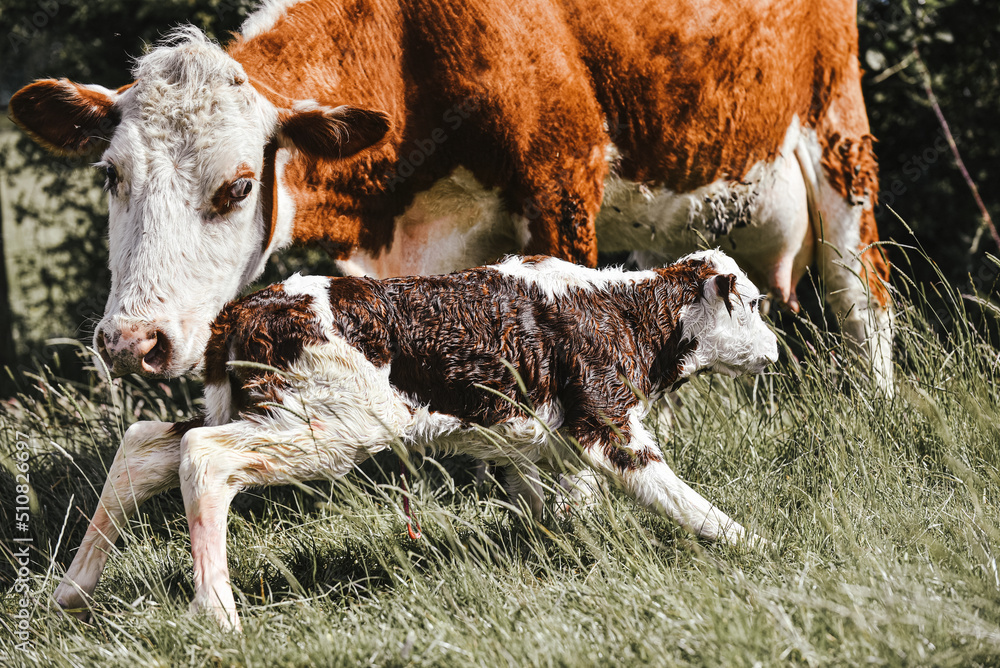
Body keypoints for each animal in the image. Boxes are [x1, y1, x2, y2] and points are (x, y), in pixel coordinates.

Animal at [8, 0, 892, 393]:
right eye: (110, 175)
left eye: (238, 185)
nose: (133, 342)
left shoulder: (561, 181)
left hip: (838, 131)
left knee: (865, 296)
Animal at [52, 249, 779, 629]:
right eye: (752, 304)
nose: (776, 349)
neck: (625, 313)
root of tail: (243, 310)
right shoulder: (607, 423)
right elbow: (681, 497)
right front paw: (762, 545)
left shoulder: (539, 441)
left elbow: (561, 508)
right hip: (329, 424)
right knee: (204, 457)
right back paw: (218, 614)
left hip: (258, 407)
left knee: (147, 444)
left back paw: (73, 591)